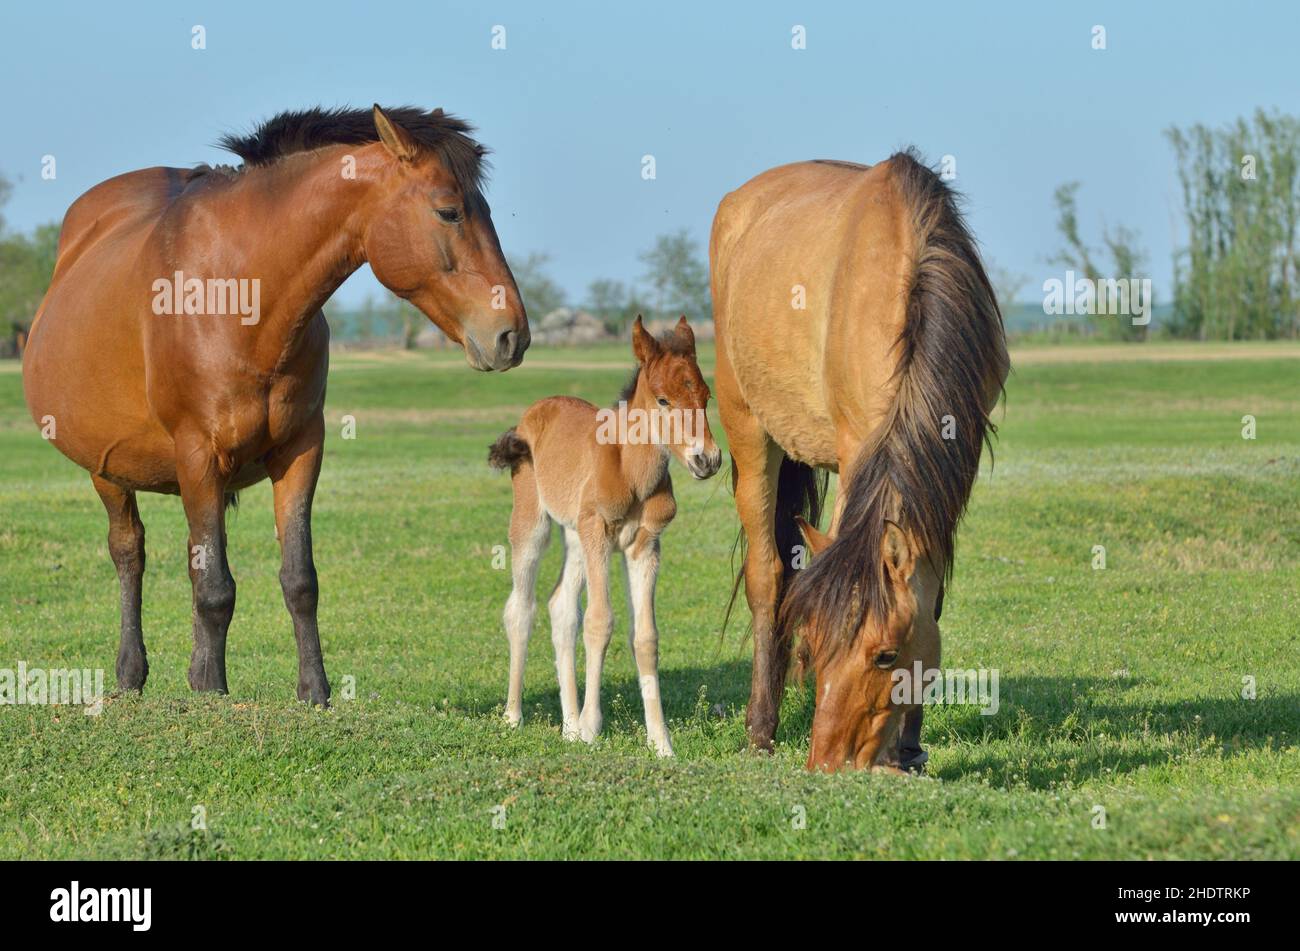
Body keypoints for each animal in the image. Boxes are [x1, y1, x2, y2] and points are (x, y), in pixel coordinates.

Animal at [22, 105, 530, 705]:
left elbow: (298, 579)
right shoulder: (197, 455)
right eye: (449, 212)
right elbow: (214, 587)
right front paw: (211, 691)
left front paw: (314, 691)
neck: (239, 295)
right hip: (107, 470)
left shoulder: (300, 450)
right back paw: (130, 673)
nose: (512, 335)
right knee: (130, 553)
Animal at [487, 316, 722, 755]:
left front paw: (660, 741)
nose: (707, 459)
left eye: (705, 395)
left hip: (575, 536)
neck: (631, 469)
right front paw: (592, 728)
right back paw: (513, 716)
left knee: (561, 608)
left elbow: (645, 637)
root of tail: (536, 410)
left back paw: (567, 725)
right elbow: (599, 622)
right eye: (663, 400)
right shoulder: (598, 533)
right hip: (534, 523)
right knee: (521, 608)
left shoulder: (645, 545)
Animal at [711, 151, 1008, 771]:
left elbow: (931, 598)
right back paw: (761, 730)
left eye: (885, 654)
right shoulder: (855, 451)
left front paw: (910, 746)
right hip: (749, 432)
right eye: (820, 641)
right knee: (768, 578)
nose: (826, 761)